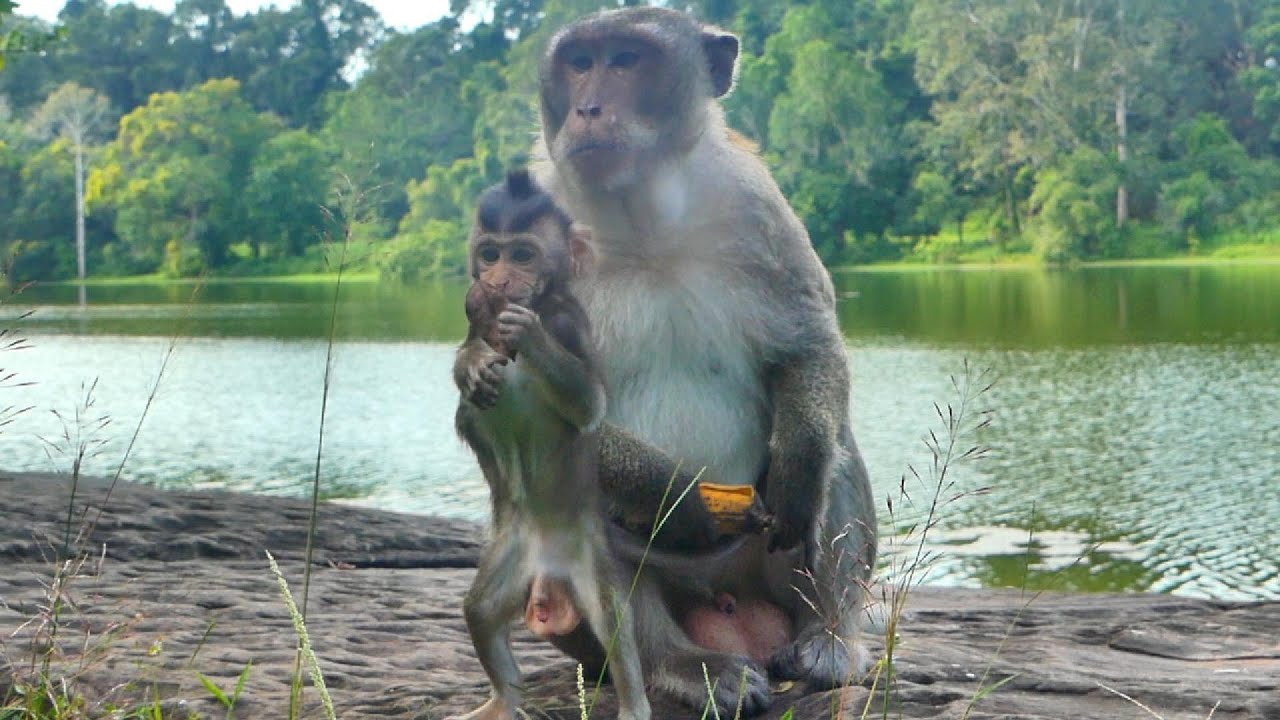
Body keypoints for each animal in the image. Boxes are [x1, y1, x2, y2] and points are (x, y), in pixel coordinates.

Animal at [450, 168, 650, 720]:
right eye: (490, 254)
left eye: (523, 255)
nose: (497, 281)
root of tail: (548, 568)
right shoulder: (473, 315)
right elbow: (466, 387)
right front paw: (474, 362)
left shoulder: (571, 322)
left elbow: (590, 404)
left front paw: (530, 335)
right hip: (511, 550)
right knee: (480, 610)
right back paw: (502, 699)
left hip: (589, 555)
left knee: (614, 621)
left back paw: (635, 705)